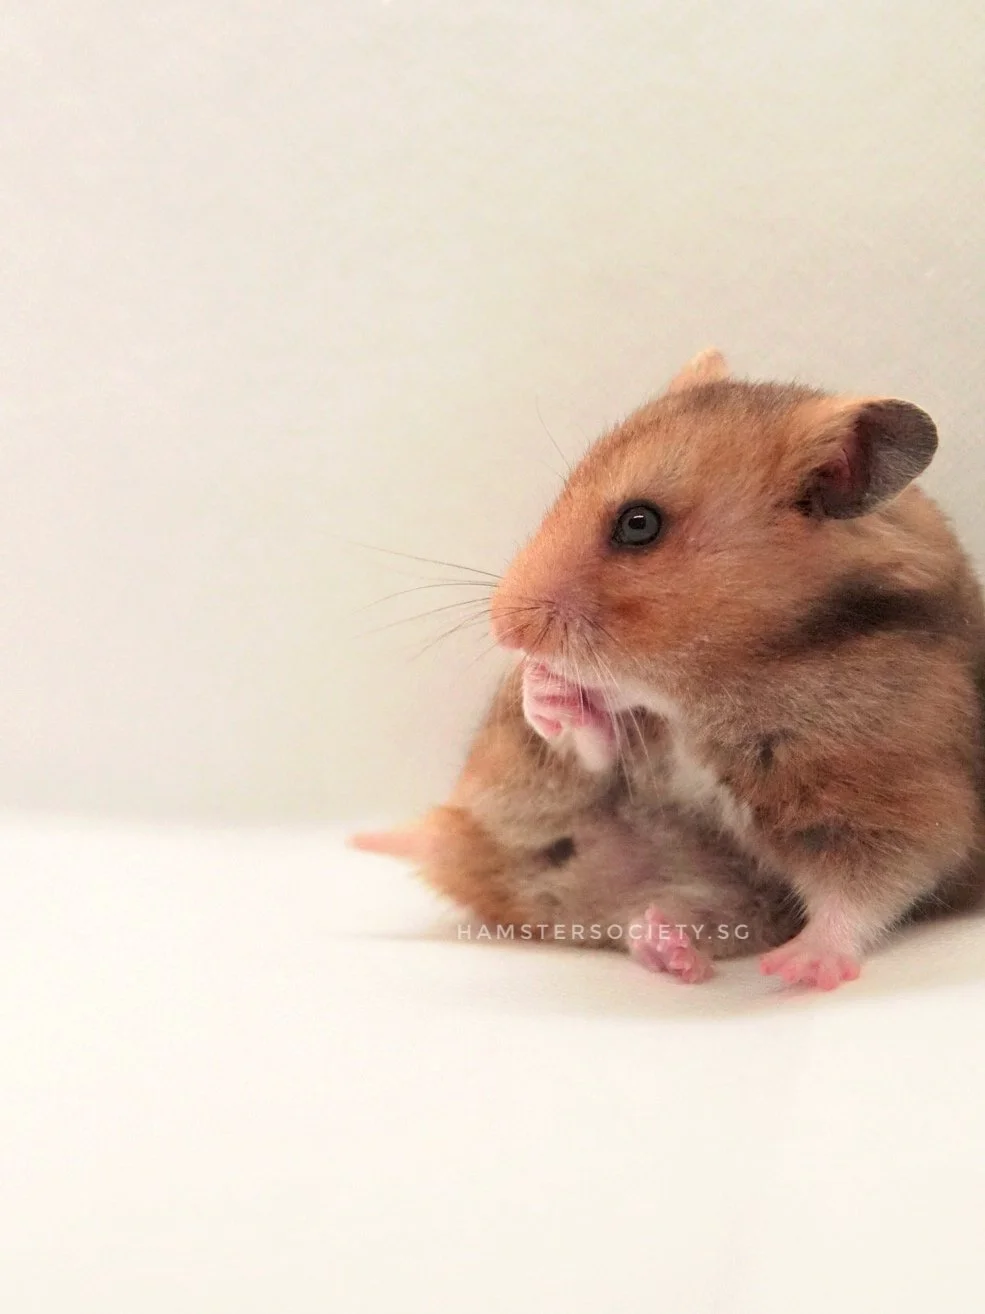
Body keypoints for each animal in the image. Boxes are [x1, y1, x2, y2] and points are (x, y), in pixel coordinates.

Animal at [485, 350, 985, 989]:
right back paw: (661, 943)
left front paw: (798, 968)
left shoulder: (895, 796)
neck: (715, 690)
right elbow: (602, 749)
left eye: (638, 524)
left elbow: (867, 888)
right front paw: (544, 689)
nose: (502, 628)